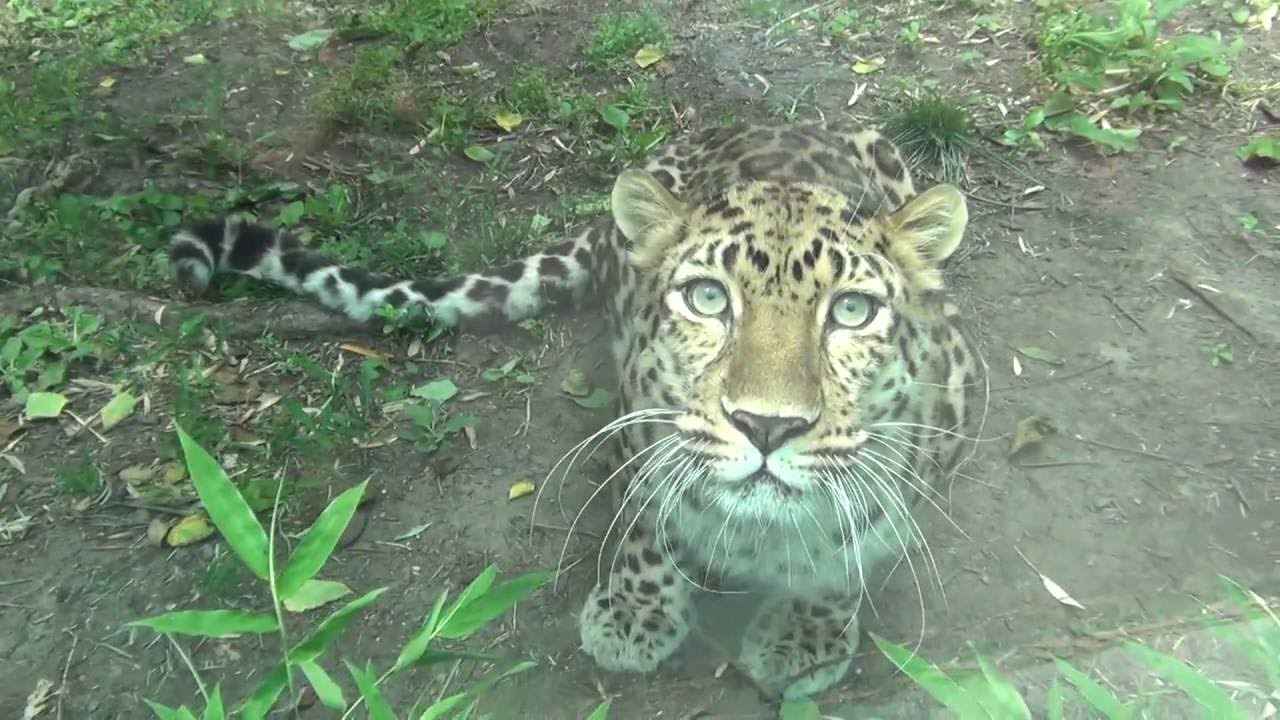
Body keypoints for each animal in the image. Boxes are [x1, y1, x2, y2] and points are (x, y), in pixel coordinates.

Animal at [168, 120, 980, 699]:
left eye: (851, 311)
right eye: (707, 298)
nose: (766, 425)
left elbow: (847, 555)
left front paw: (806, 638)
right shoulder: (640, 425)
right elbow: (650, 525)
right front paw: (635, 615)